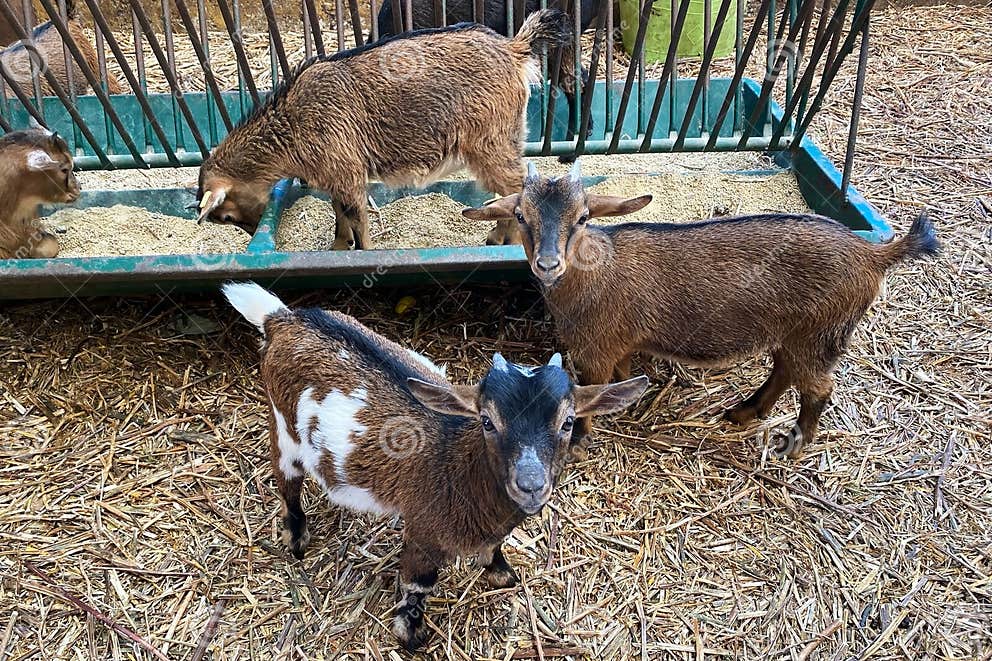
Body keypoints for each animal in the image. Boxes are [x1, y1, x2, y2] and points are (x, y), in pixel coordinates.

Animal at [196, 9, 571, 250]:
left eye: (225, 214)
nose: (252, 234)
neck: (292, 122)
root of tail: (514, 49)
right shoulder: (334, 175)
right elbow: (339, 213)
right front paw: (337, 247)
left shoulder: (346, 170)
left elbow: (356, 217)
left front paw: (363, 251)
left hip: (490, 142)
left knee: (517, 187)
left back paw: (504, 240)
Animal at [222, 281, 648, 650]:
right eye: (487, 421)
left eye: (568, 421)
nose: (530, 484)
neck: (457, 462)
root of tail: (282, 318)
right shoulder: (424, 531)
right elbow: (418, 584)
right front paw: (410, 634)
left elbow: (494, 547)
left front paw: (500, 572)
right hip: (284, 427)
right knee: (287, 482)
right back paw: (296, 537)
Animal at [463, 161, 940, 459]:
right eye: (520, 216)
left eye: (581, 217)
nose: (548, 264)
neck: (594, 271)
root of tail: (873, 254)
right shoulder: (620, 346)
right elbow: (622, 375)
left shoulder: (597, 348)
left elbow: (588, 393)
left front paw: (579, 442)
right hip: (794, 332)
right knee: (785, 370)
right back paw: (743, 412)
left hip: (820, 332)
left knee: (818, 387)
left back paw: (793, 443)